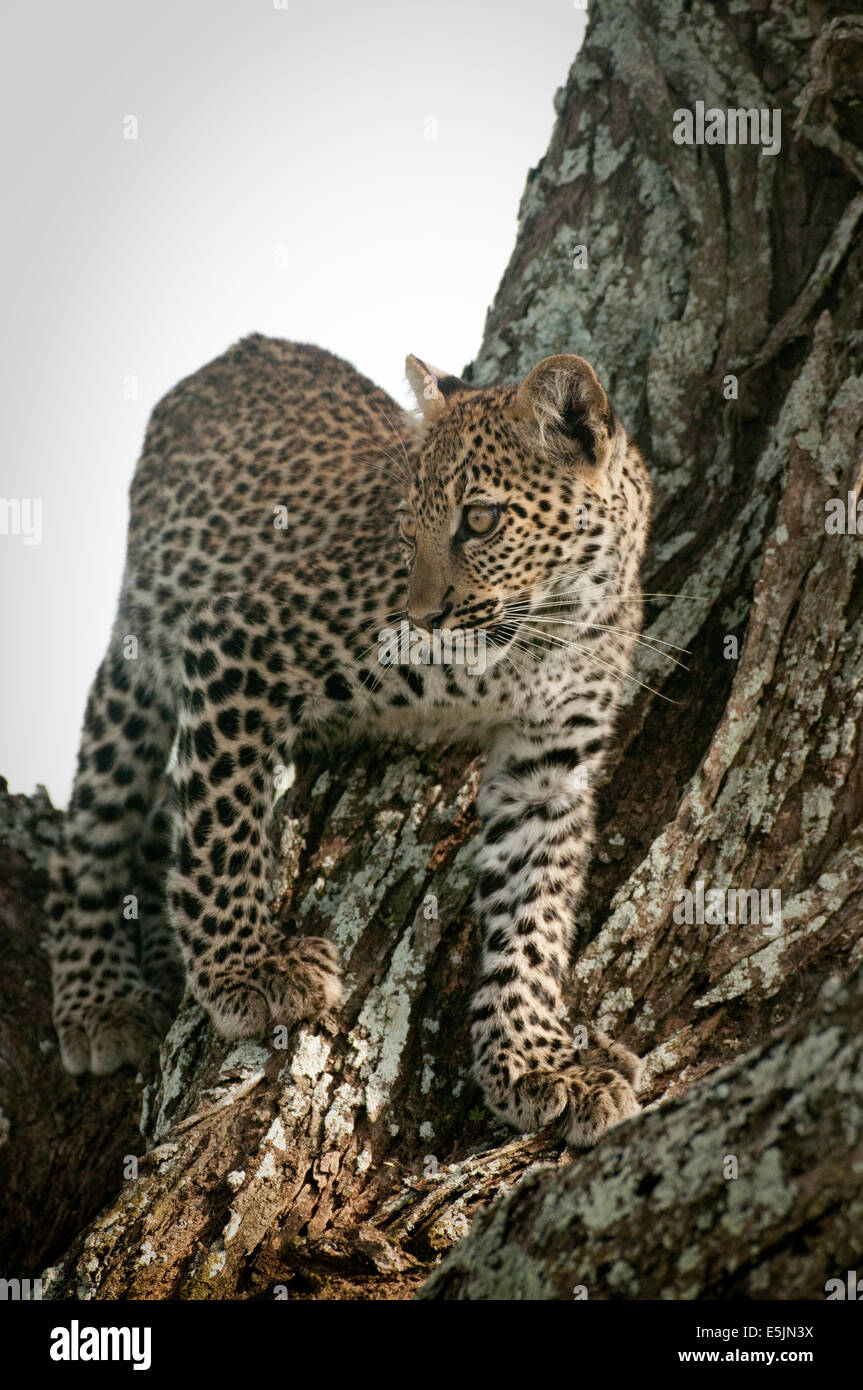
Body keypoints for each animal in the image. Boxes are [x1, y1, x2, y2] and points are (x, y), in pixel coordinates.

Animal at [47, 333, 652, 1147]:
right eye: (406, 530)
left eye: (481, 520)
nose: (422, 617)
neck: (534, 641)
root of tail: (244, 347)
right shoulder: (239, 642)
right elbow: (219, 833)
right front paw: (245, 969)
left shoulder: (547, 769)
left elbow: (532, 920)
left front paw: (534, 1062)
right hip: (142, 650)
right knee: (94, 820)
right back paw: (97, 998)